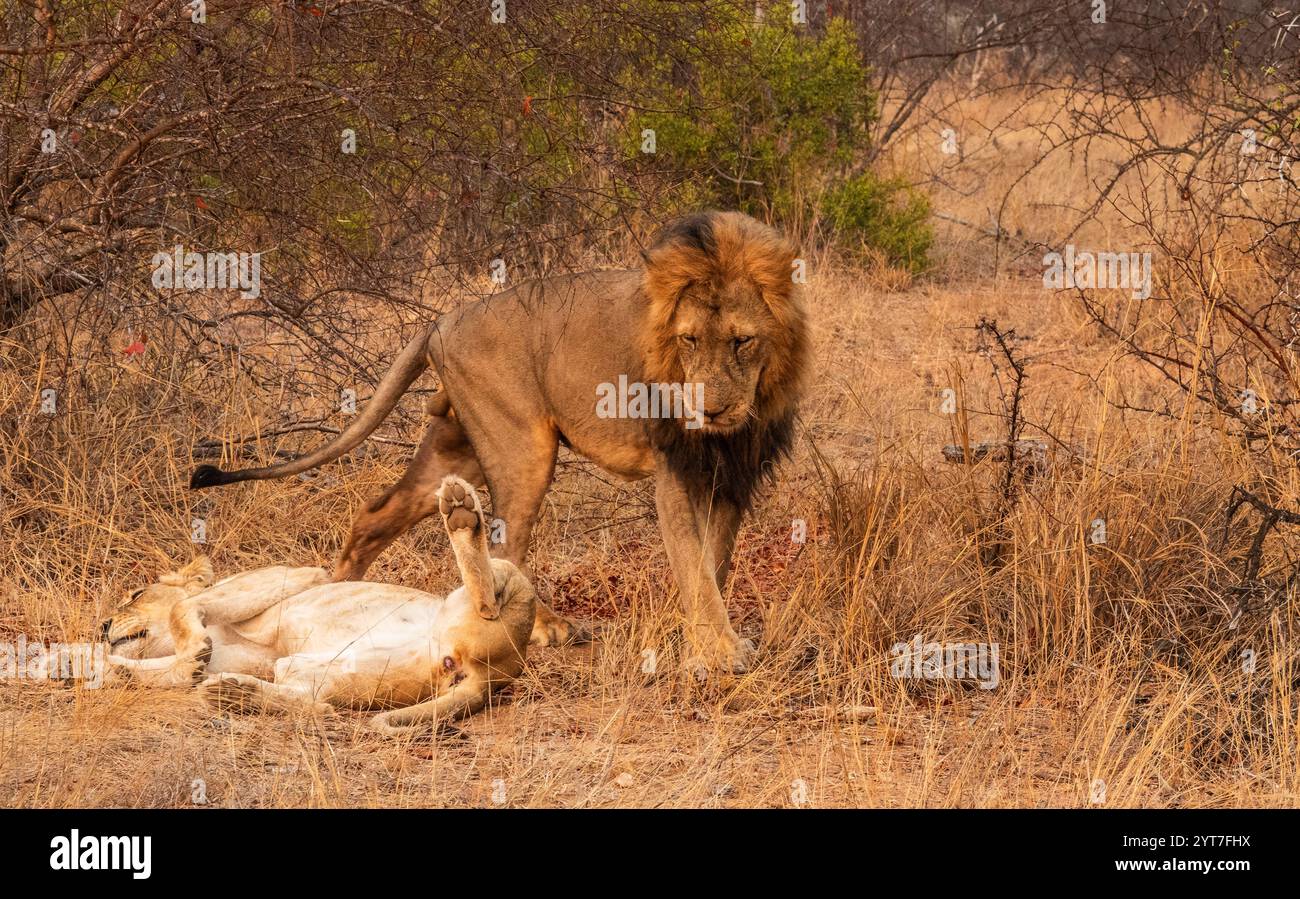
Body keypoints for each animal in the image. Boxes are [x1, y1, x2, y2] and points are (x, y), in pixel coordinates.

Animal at [102, 476, 535, 735]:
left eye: (135, 595)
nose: (103, 626)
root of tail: (493, 678)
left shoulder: (290, 576)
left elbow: (183, 611)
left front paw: (182, 655)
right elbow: (159, 669)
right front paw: (116, 669)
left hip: (508, 584)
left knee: (487, 595)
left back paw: (461, 511)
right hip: (337, 670)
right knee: (319, 706)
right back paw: (233, 695)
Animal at [190, 210, 808, 676]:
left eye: (742, 341)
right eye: (688, 340)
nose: (710, 409)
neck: (737, 422)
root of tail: (440, 320)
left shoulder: (734, 476)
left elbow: (715, 561)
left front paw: (714, 641)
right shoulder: (675, 468)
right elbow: (695, 568)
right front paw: (718, 654)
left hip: (453, 446)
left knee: (375, 514)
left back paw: (341, 596)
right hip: (523, 449)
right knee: (504, 543)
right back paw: (544, 629)